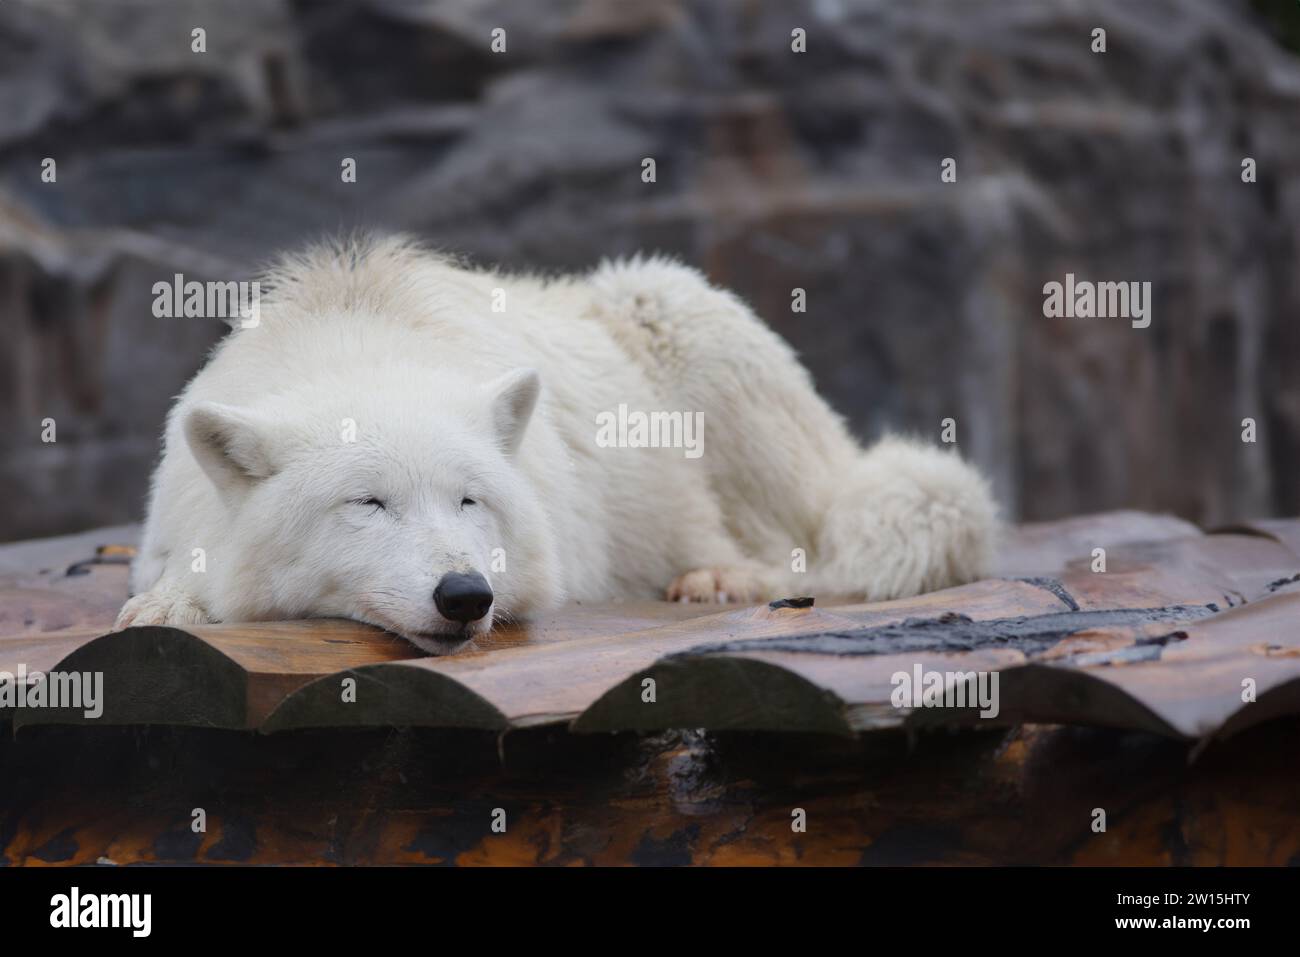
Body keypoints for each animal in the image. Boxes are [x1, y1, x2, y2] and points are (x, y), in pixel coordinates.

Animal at [117, 235, 997, 655]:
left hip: (670, 308)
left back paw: (718, 574)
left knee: (813, 536)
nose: (463, 594)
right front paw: (167, 604)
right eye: (367, 502)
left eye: (469, 498)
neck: (353, 330)